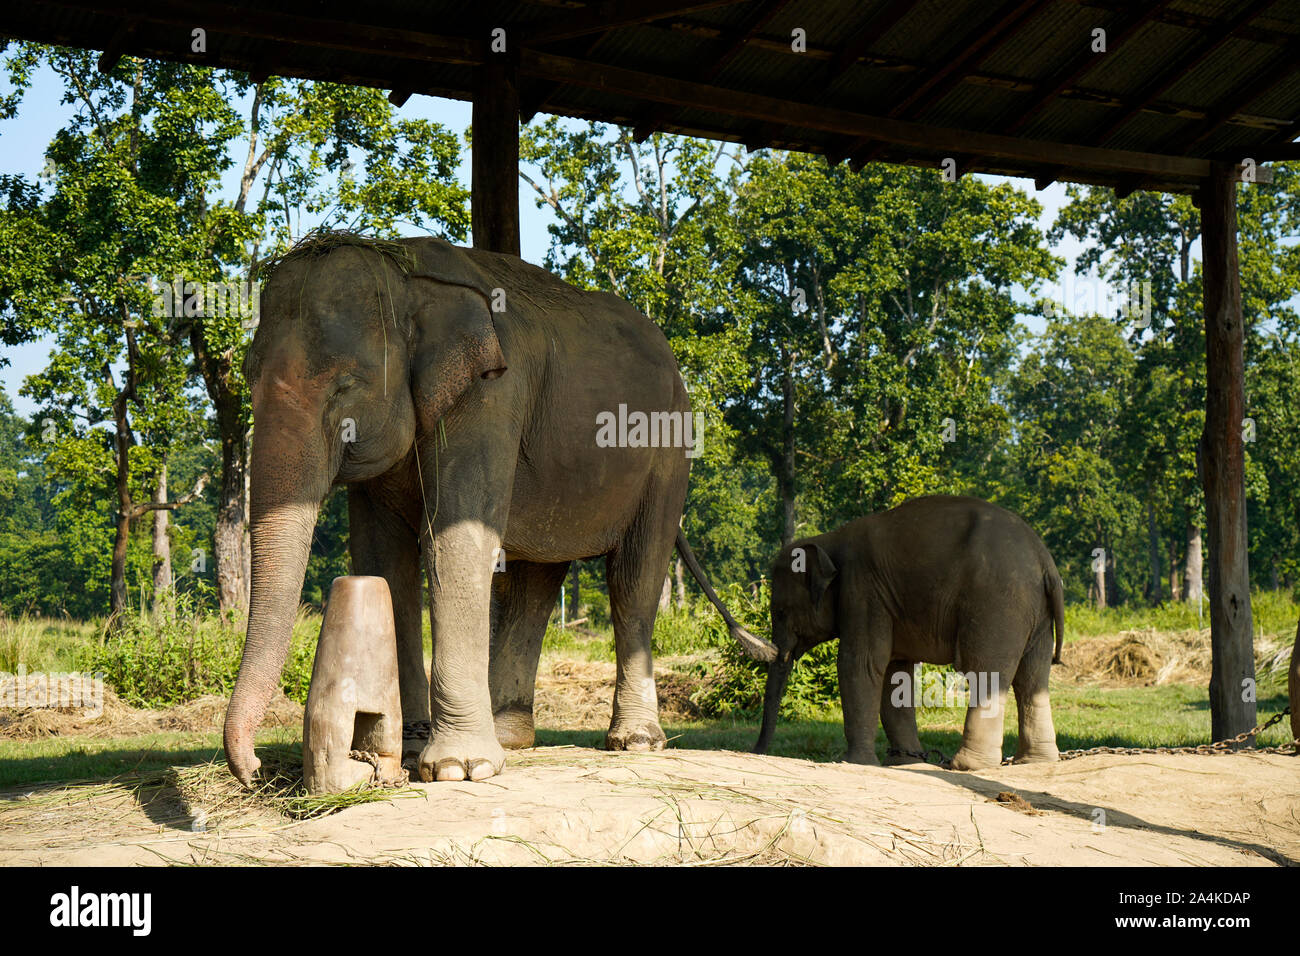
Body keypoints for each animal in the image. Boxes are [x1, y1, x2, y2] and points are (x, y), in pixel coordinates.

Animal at [222, 233, 775, 788]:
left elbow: (455, 542)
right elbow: (382, 558)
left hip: (668, 454)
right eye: (248, 378)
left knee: (634, 579)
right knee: (538, 583)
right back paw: (510, 736)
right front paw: (412, 747)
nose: (256, 770)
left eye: (345, 386)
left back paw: (635, 741)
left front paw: (458, 768)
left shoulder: (491, 393)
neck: (405, 274)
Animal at [755, 495, 1063, 771]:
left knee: (985, 672)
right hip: (1036, 614)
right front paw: (905, 762)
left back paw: (966, 765)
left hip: (996, 604)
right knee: (1032, 677)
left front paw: (856, 763)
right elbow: (895, 672)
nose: (758, 752)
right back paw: (1034, 761)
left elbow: (859, 663)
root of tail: (1044, 560)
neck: (830, 538)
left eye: (780, 611)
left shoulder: (863, 591)